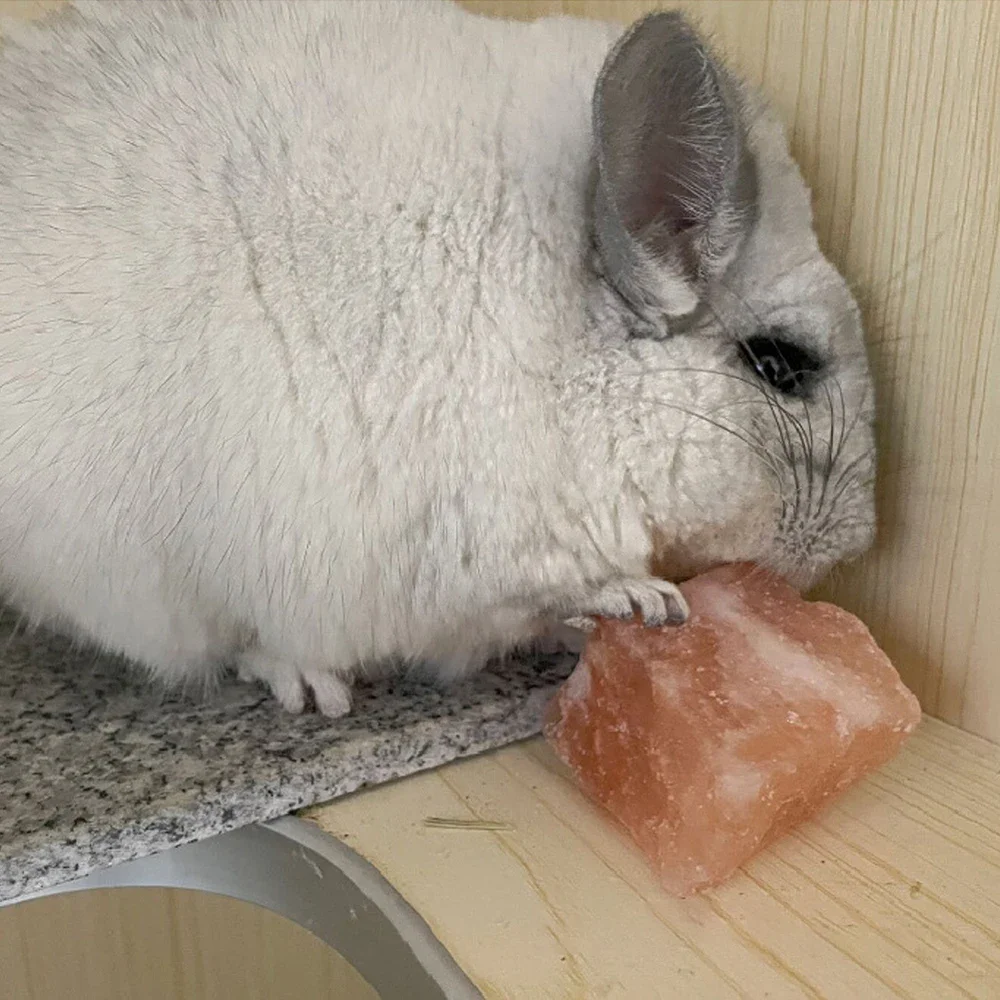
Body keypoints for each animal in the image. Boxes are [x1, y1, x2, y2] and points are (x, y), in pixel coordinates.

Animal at [0, 1, 876, 717]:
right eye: (781, 365)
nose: (859, 542)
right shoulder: (481, 546)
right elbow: (552, 588)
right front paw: (641, 598)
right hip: (150, 585)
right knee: (233, 641)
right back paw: (312, 684)